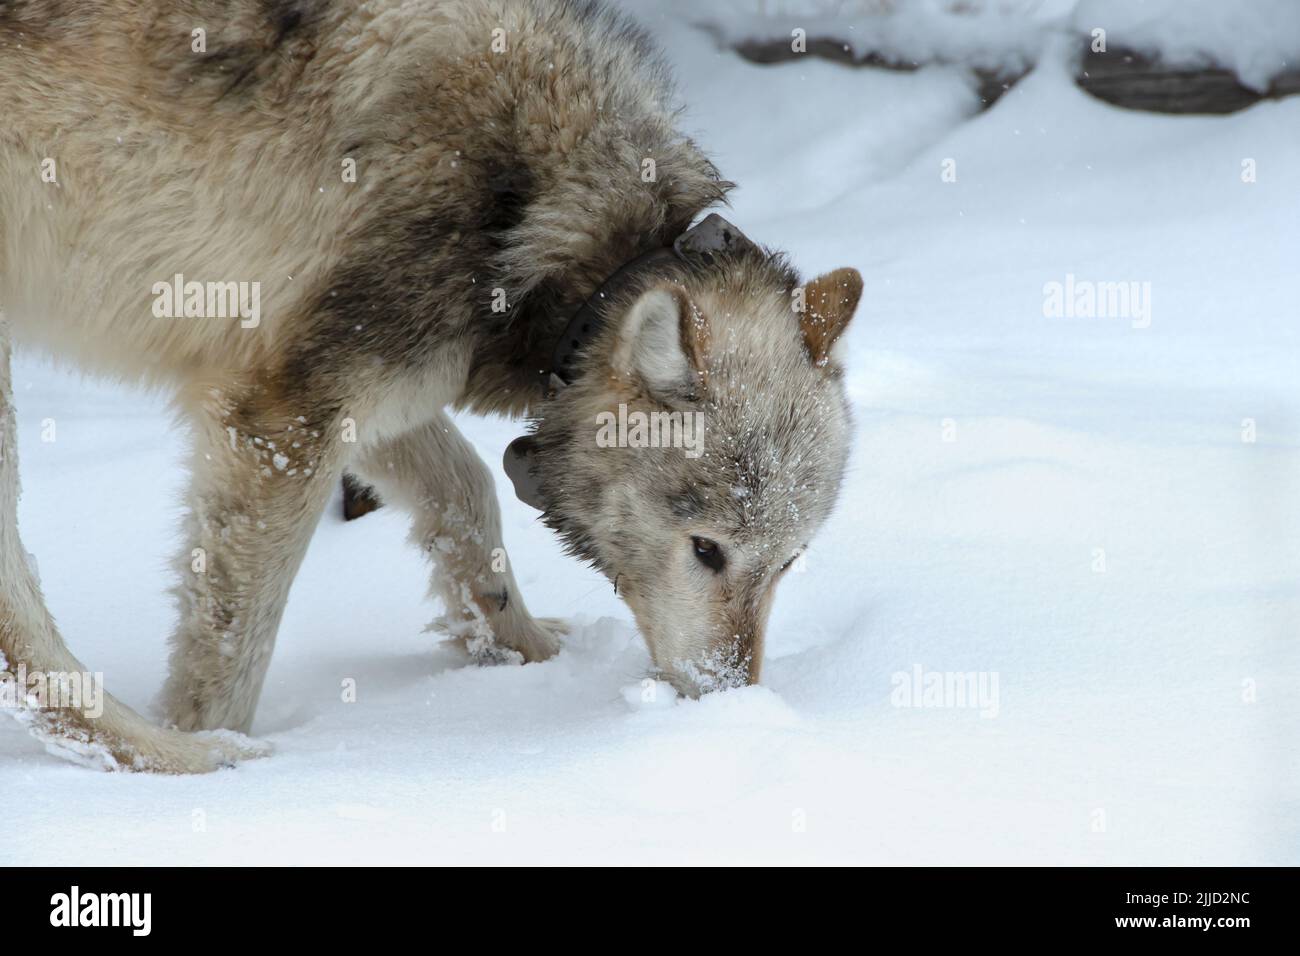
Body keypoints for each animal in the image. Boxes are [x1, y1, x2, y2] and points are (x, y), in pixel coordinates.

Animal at [0, 0, 862, 772]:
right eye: (706, 551)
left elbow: (468, 496)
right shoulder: (282, 419)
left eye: (787, 563)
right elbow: (235, 639)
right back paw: (191, 760)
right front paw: (218, 741)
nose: (731, 704)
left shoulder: (375, 397)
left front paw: (520, 651)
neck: (524, 213)